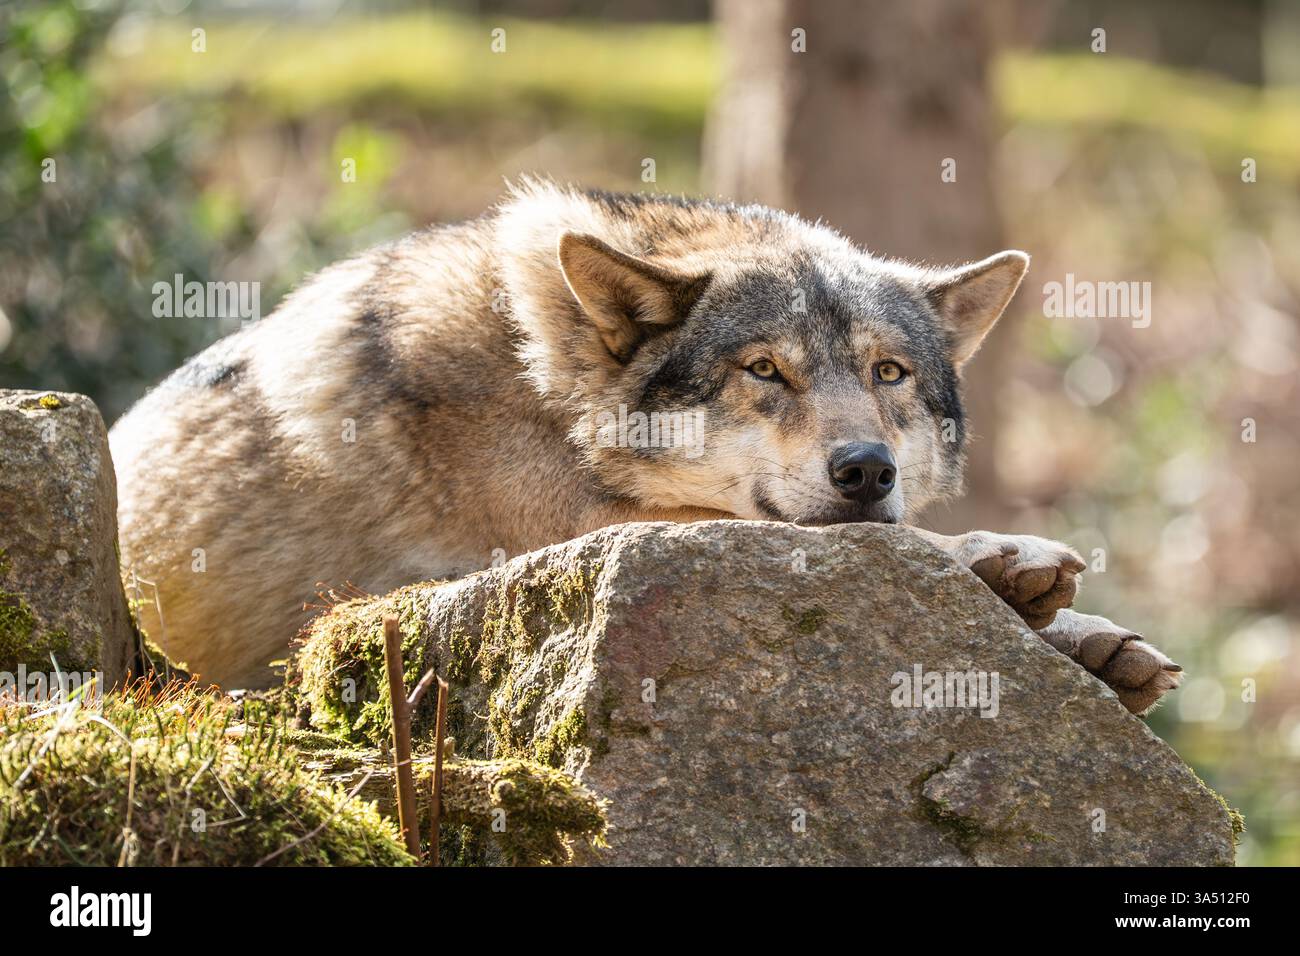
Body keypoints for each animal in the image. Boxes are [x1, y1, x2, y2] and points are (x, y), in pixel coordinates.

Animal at [109, 181, 1181, 713]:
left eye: (888, 373)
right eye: (764, 370)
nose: (867, 470)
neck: (546, 373)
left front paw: (1094, 643)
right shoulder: (588, 529)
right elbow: (888, 546)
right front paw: (1003, 559)